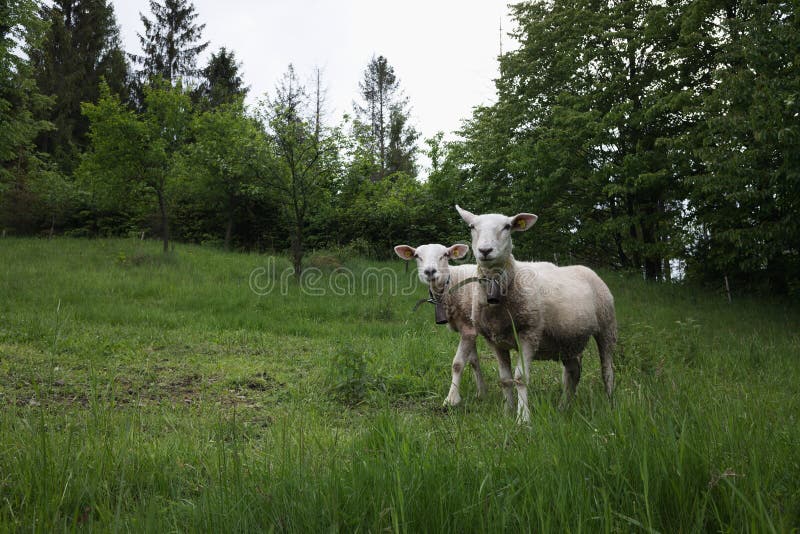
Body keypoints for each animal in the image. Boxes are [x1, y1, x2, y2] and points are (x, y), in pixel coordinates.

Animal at [455, 205, 616, 423]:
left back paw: (610, 403)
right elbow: (505, 379)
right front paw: (507, 412)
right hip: (566, 339)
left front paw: (523, 419)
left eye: (507, 226)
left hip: (607, 325)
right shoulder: (495, 341)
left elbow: (521, 378)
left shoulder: (529, 334)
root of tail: (587, 269)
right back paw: (563, 407)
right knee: (573, 372)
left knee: (607, 369)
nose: (485, 251)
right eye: (472, 226)